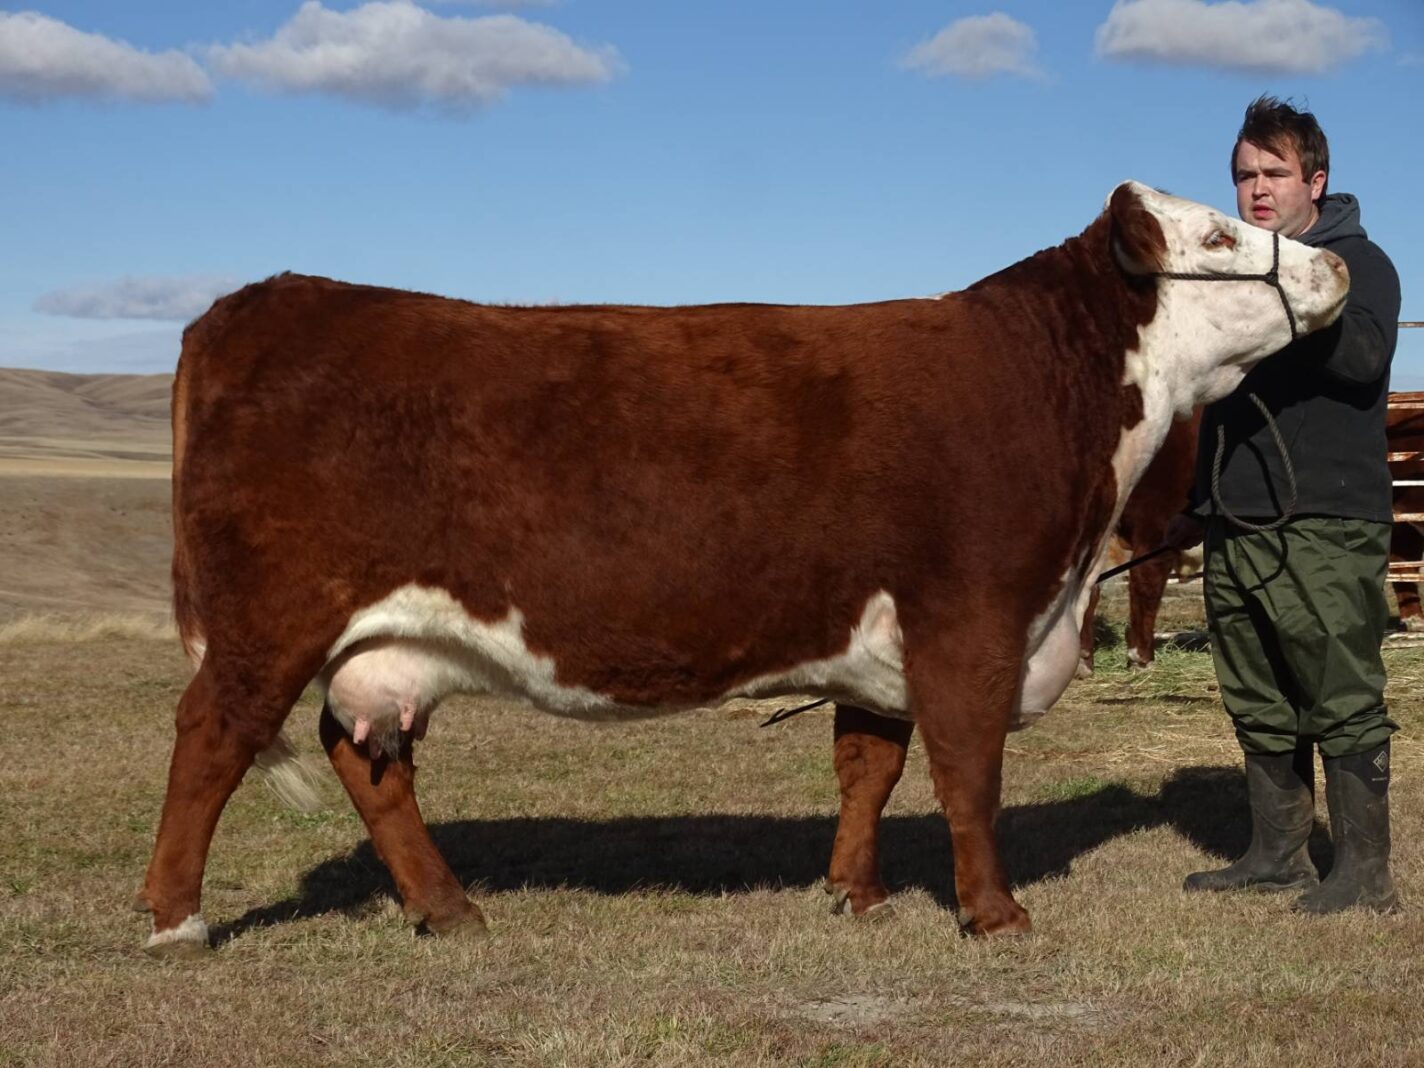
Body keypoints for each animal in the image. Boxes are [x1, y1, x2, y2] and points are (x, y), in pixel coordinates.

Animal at [135, 182, 1348, 955]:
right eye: (1219, 234)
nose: (1336, 259)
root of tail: (263, 299)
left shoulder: (882, 642)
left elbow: (870, 767)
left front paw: (854, 895)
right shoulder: (970, 616)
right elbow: (968, 773)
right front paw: (996, 917)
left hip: (381, 643)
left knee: (368, 761)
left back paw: (449, 911)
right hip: (270, 617)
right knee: (209, 740)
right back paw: (174, 920)